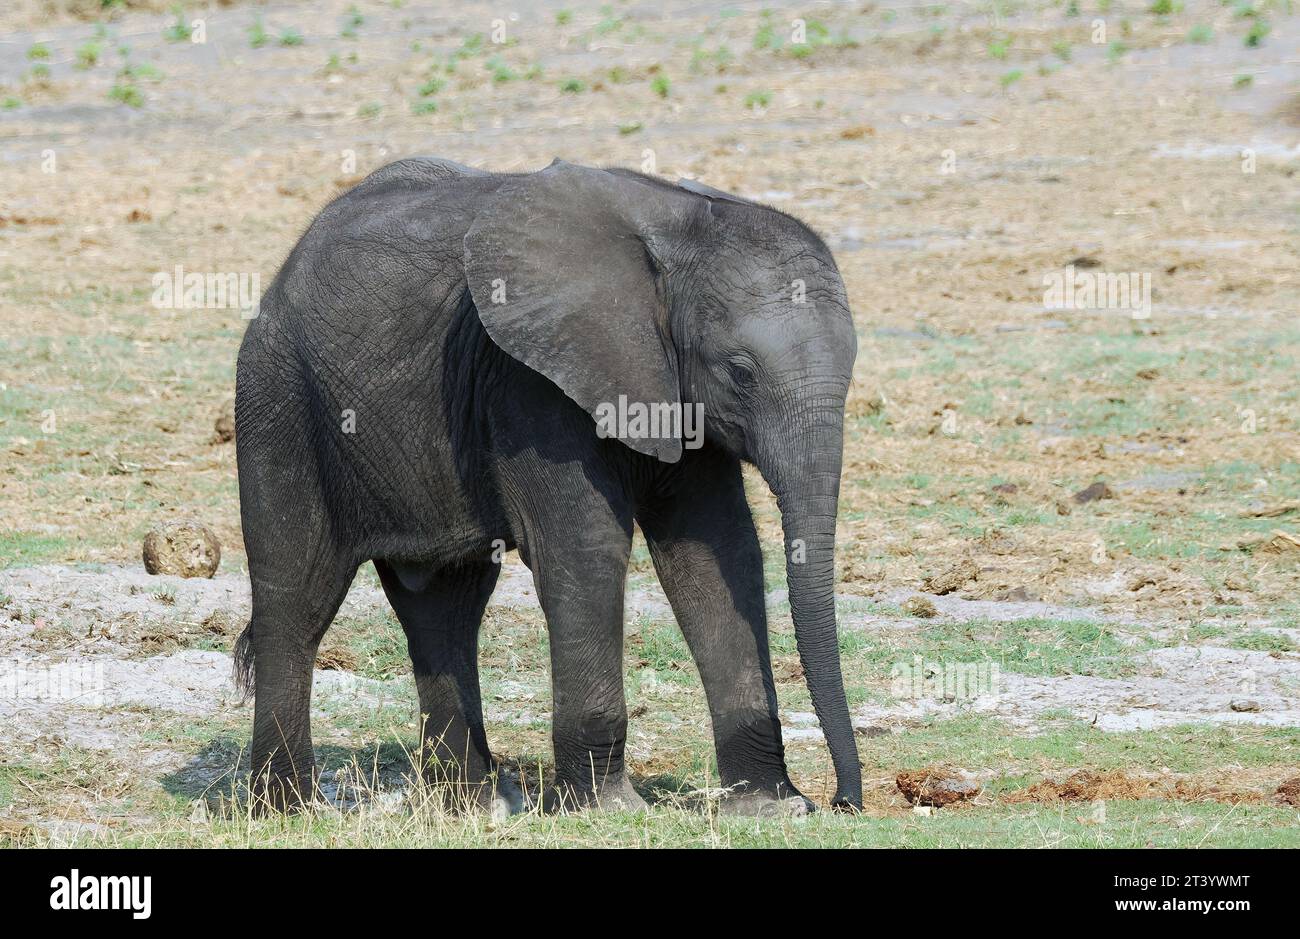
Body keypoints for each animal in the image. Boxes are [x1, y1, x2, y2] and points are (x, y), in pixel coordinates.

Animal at [232, 156, 861, 816]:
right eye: (739, 373)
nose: (842, 802)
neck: (682, 225)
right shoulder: (531, 382)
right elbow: (587, 551)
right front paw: (610, 809)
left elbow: (717, 552)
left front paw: (772, 807)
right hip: (278, 399)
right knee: (297, 598)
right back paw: (286, 810)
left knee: (444, 605)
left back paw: (477, 805)